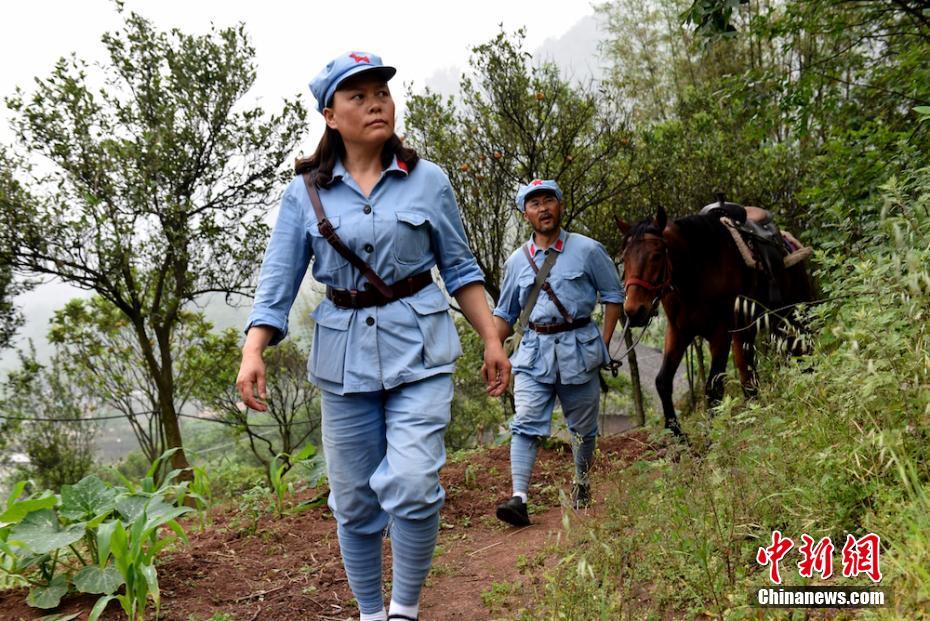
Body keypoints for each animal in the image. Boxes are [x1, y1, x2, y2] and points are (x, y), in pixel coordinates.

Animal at [616, 205, 812, 436]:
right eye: (624, 258)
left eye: (656, 256)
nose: (634, 311)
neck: (697, 271)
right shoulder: (678, 331)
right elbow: (663, 382)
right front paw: (677, 434)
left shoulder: (721, 332)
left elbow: (713, 387)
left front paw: (713, 436)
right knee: (749, 372)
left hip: (795, 313)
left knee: (803, 350)